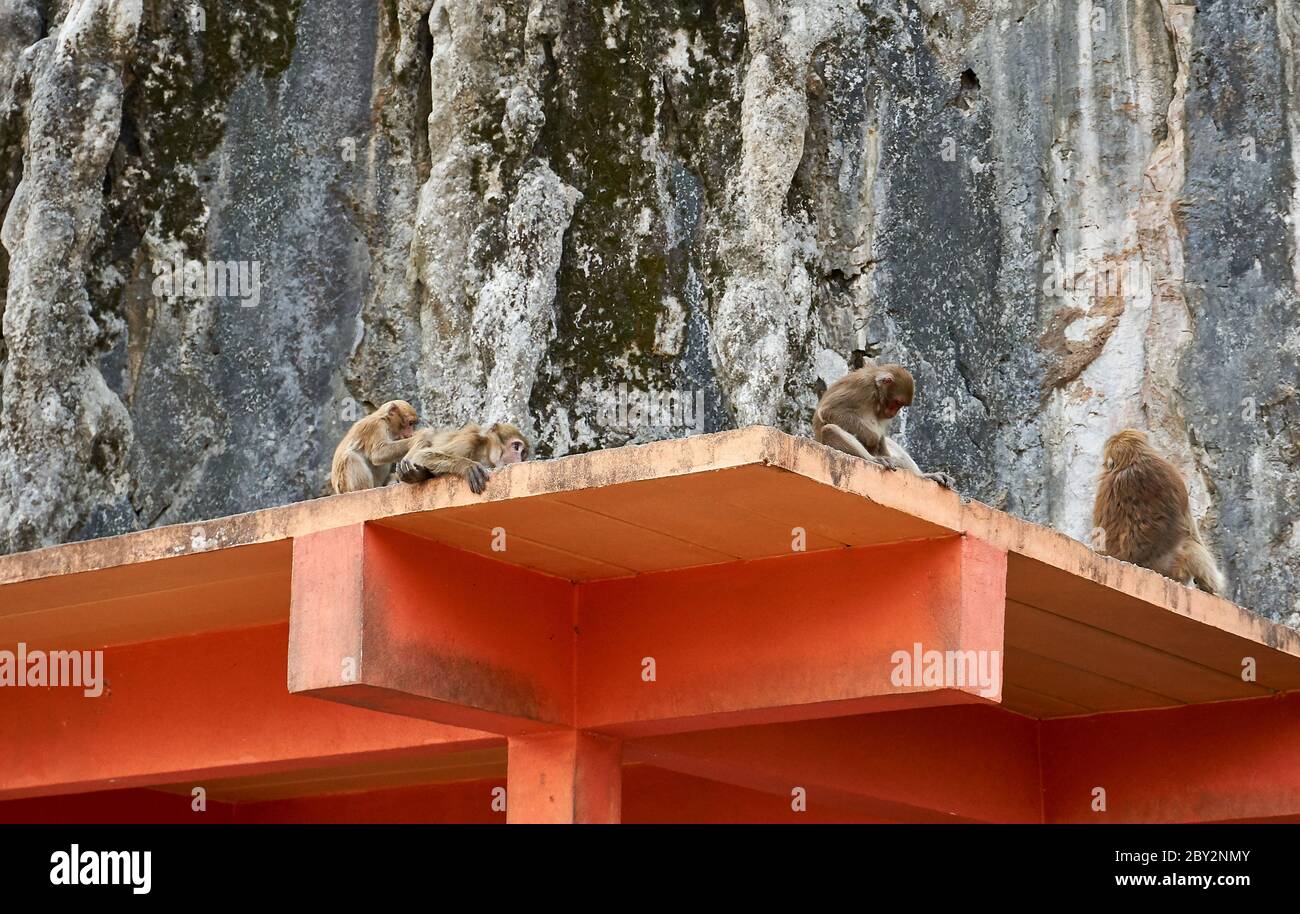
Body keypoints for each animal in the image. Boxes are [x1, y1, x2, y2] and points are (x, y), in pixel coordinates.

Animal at [395, 422, 531, 494]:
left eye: (523, 454)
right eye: (516, 447)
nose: (519, 459)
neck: (484, 453)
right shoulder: (467, 442)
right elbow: (421, 455)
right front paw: (467, 466)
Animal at [812, 361, 956, 488]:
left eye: (901, 405)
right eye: (897, 402)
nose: (894, 412)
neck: (876, 391)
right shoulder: (863, 387)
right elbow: (829, 411)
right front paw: (873, 439)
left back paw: (923, 476)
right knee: (829, 430)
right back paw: (872, 459)